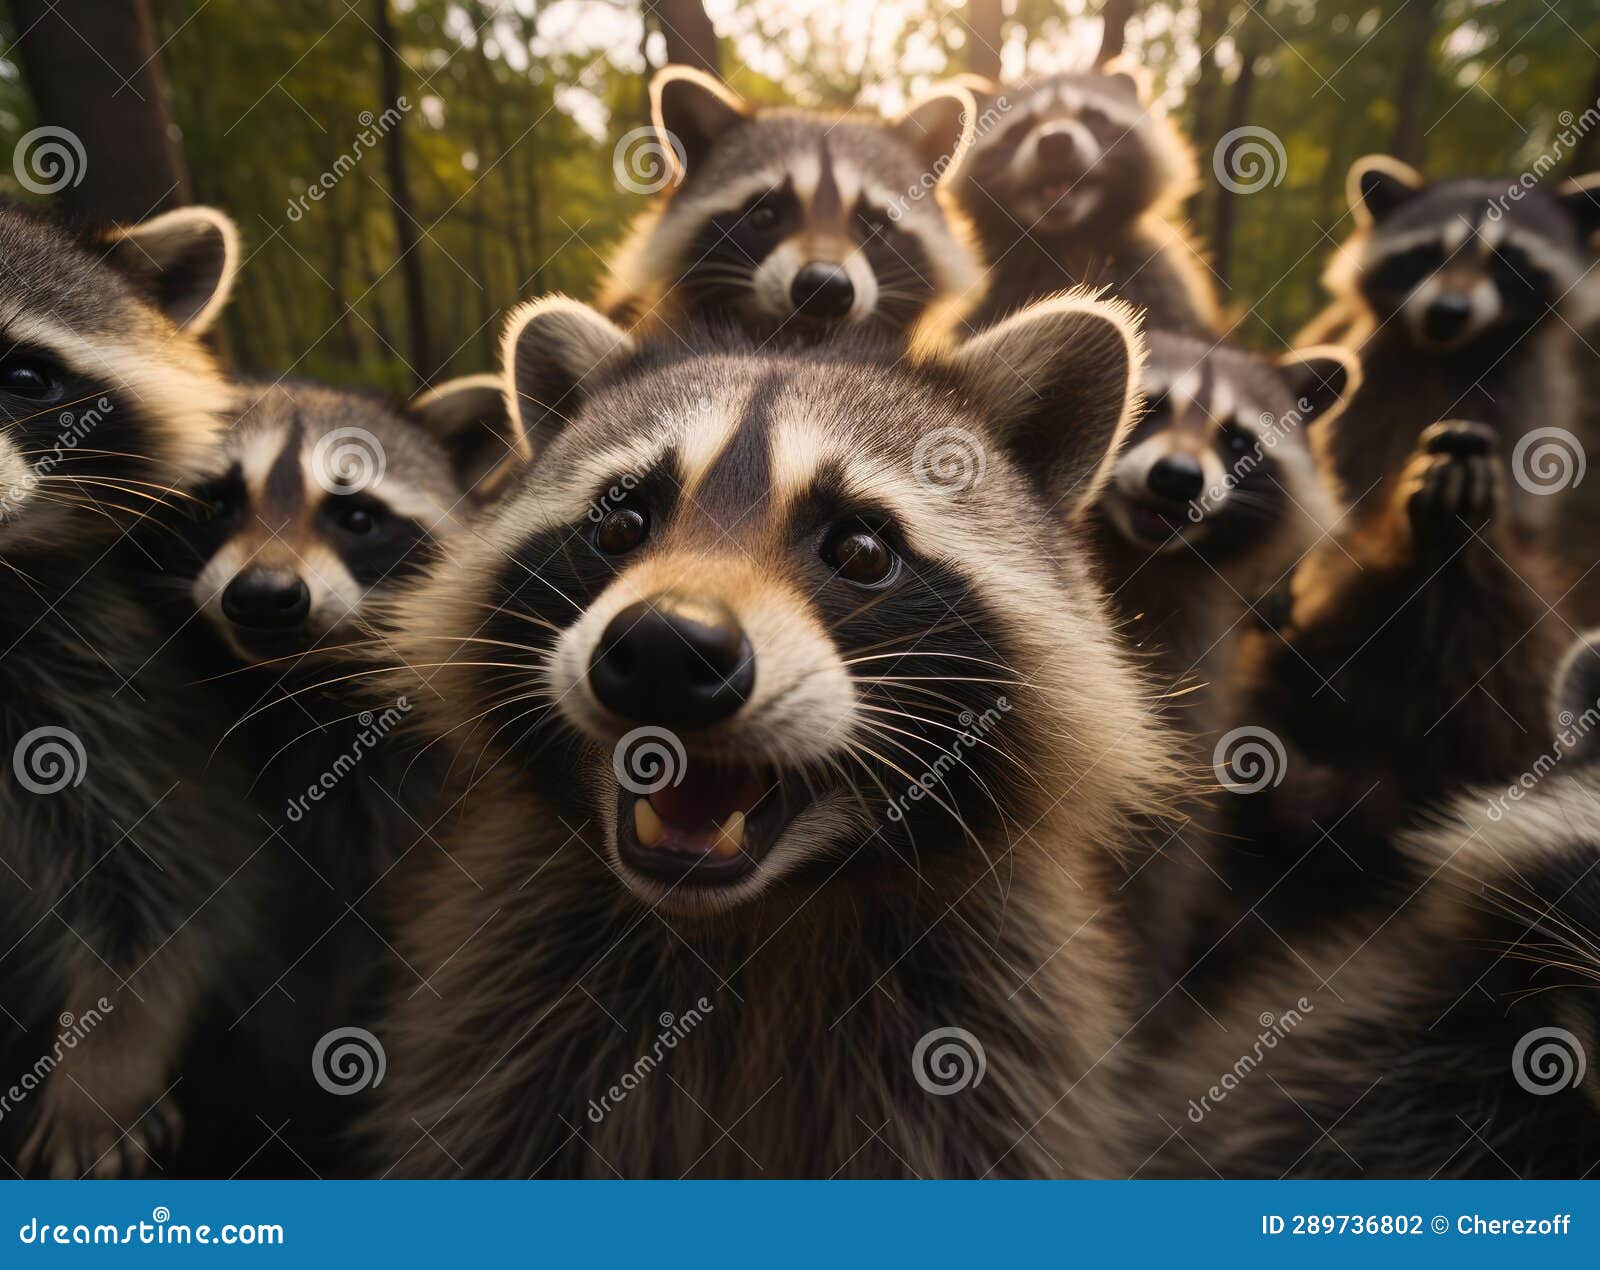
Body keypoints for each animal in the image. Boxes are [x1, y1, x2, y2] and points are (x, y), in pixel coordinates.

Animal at [363, 291, 1189, 1178]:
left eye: (861, 549)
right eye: (620, 523)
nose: (666, 650)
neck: (752, 921)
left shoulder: (993, 1038)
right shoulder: (512, 1014)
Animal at [952, 68, 1221, 336]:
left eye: (1092, 117)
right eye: (1019, 129)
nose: (1055, 142)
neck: (1071, 240)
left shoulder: (1151, 274)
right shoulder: (999, 288)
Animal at [1307, 155, 1600, 535]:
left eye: (1506, 260)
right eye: (1427, 254)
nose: (1448, 312)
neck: (1453, 355)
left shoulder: (1521, 407)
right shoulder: (1367, 394)